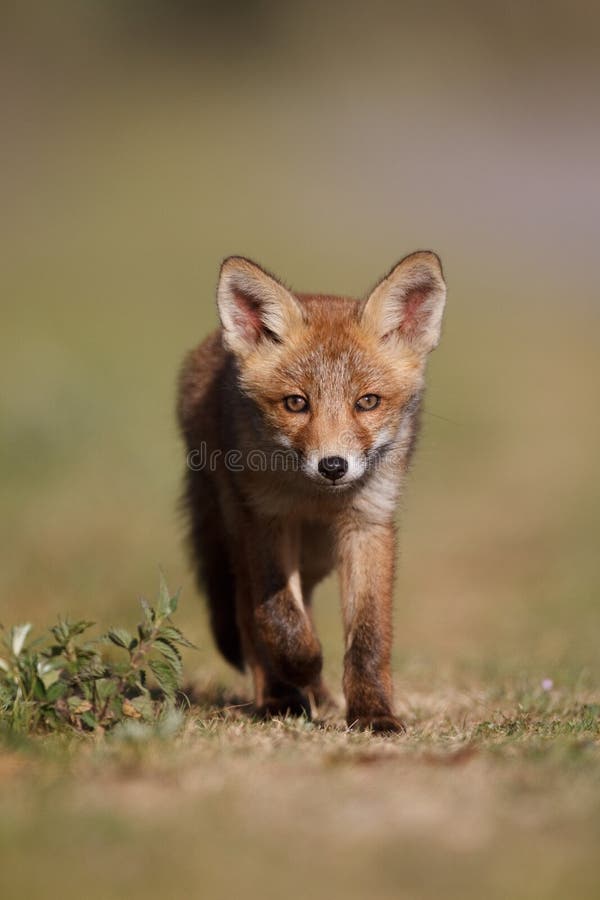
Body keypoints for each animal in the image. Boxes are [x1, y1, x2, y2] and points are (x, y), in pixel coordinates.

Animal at [177, 251, 447, 733]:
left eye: (368, 402)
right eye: (296, 403)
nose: (333, 466)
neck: (317, 499)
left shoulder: (368, 523)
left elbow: (368, 636)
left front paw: (373, 713)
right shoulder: (266, 518)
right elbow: (278, 618)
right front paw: (303, 669)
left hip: (317, 554)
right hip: (236, 529)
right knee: (248, 615)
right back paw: (281, 697)